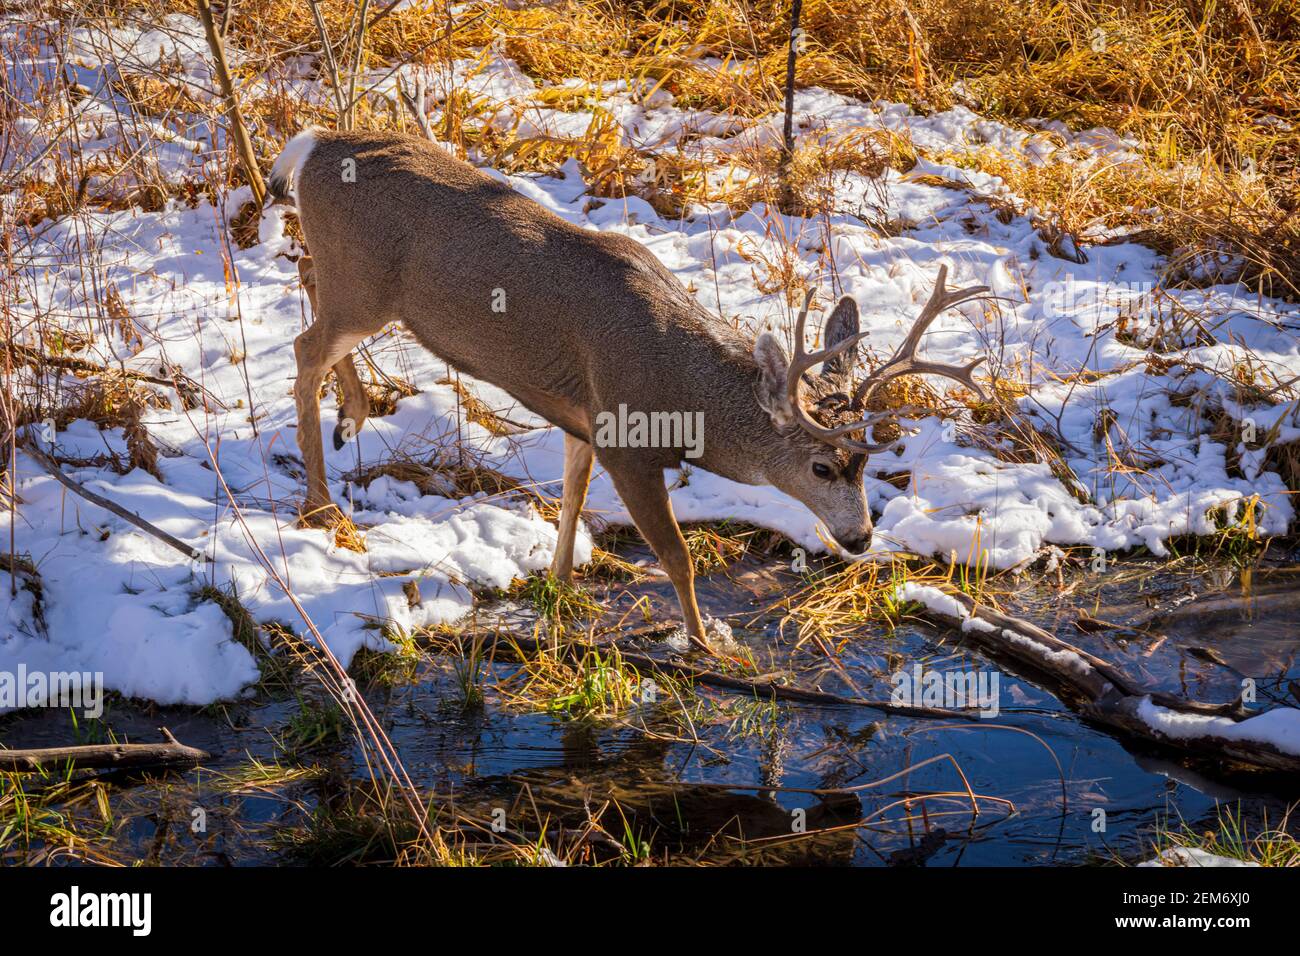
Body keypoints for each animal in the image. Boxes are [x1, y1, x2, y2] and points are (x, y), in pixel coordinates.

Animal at [268, 128, 989, 653]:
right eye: (821, 466)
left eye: (864, 464)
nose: (862, 538)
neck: (687, 399)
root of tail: (313, 144)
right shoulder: (627, 440)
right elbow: (677, 555)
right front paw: (706, 645)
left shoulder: (584, 419)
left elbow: (570, 502)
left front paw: (559, 591)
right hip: (366, 284)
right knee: (304, 347)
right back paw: (322, 501)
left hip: (354, 283)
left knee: (305, 278)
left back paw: (352, 418)